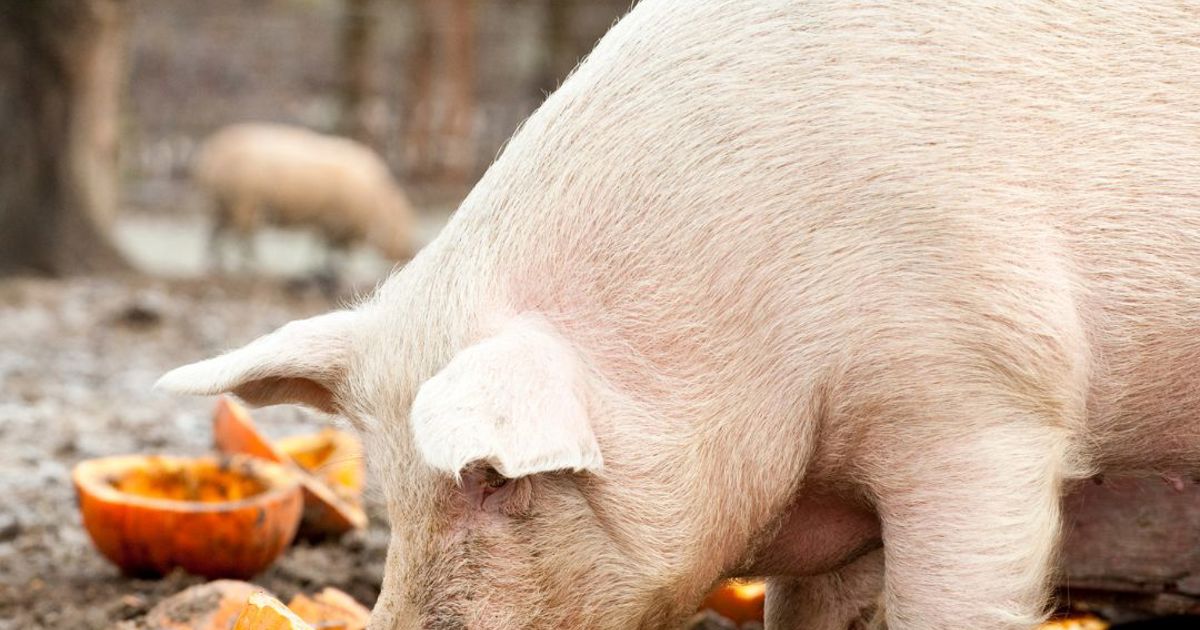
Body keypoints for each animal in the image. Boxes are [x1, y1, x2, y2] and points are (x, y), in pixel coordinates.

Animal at [194, 123, 418, 269]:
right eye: (399, 229)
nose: (406, 255)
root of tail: (210, 154)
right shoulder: (335, 221)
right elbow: (330, 249)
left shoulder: (331, 222)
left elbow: (325, 247)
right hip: (244, 202)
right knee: (242, 234)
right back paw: (249, 263)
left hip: (221, 202)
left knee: (217, 231)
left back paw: (216, 262)